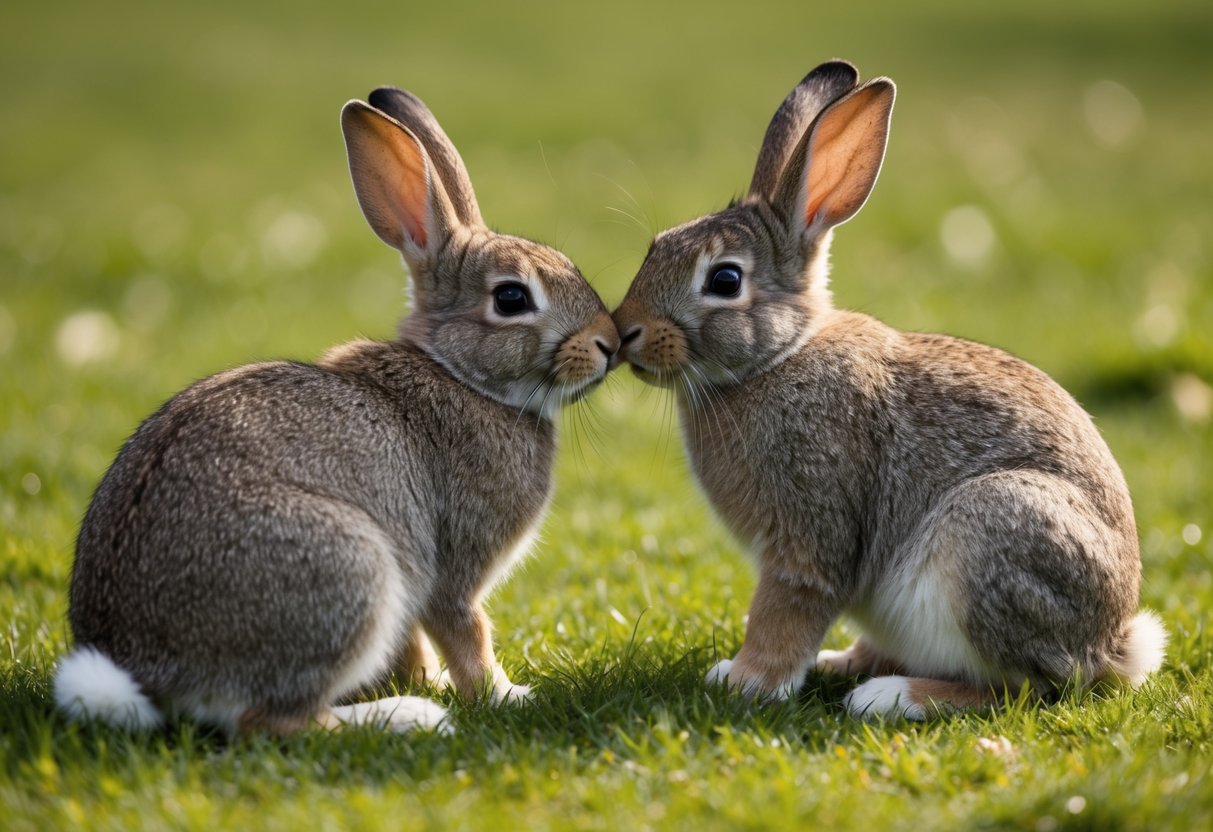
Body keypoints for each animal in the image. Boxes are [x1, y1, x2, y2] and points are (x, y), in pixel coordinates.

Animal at [54, 86, 620, 736]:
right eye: (511, 297)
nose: (609, 343)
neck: (460, 376)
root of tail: (144, 672)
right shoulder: (453, 568)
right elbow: (467, 632)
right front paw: (504, 696)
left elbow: (413, 644)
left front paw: (429, 679)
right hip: (352, 571)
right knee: (275, 722)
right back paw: (408, 717)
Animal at [612, 60, 1166, 719]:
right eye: (657, 245)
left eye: (724, 280)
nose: (624, 330)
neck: (777, 357)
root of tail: (1114, 644)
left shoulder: (808, 531)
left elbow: (785, 610)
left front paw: (747, 682)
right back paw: (845, 665)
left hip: (993, 535)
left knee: (1029, 685)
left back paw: (890, 696)